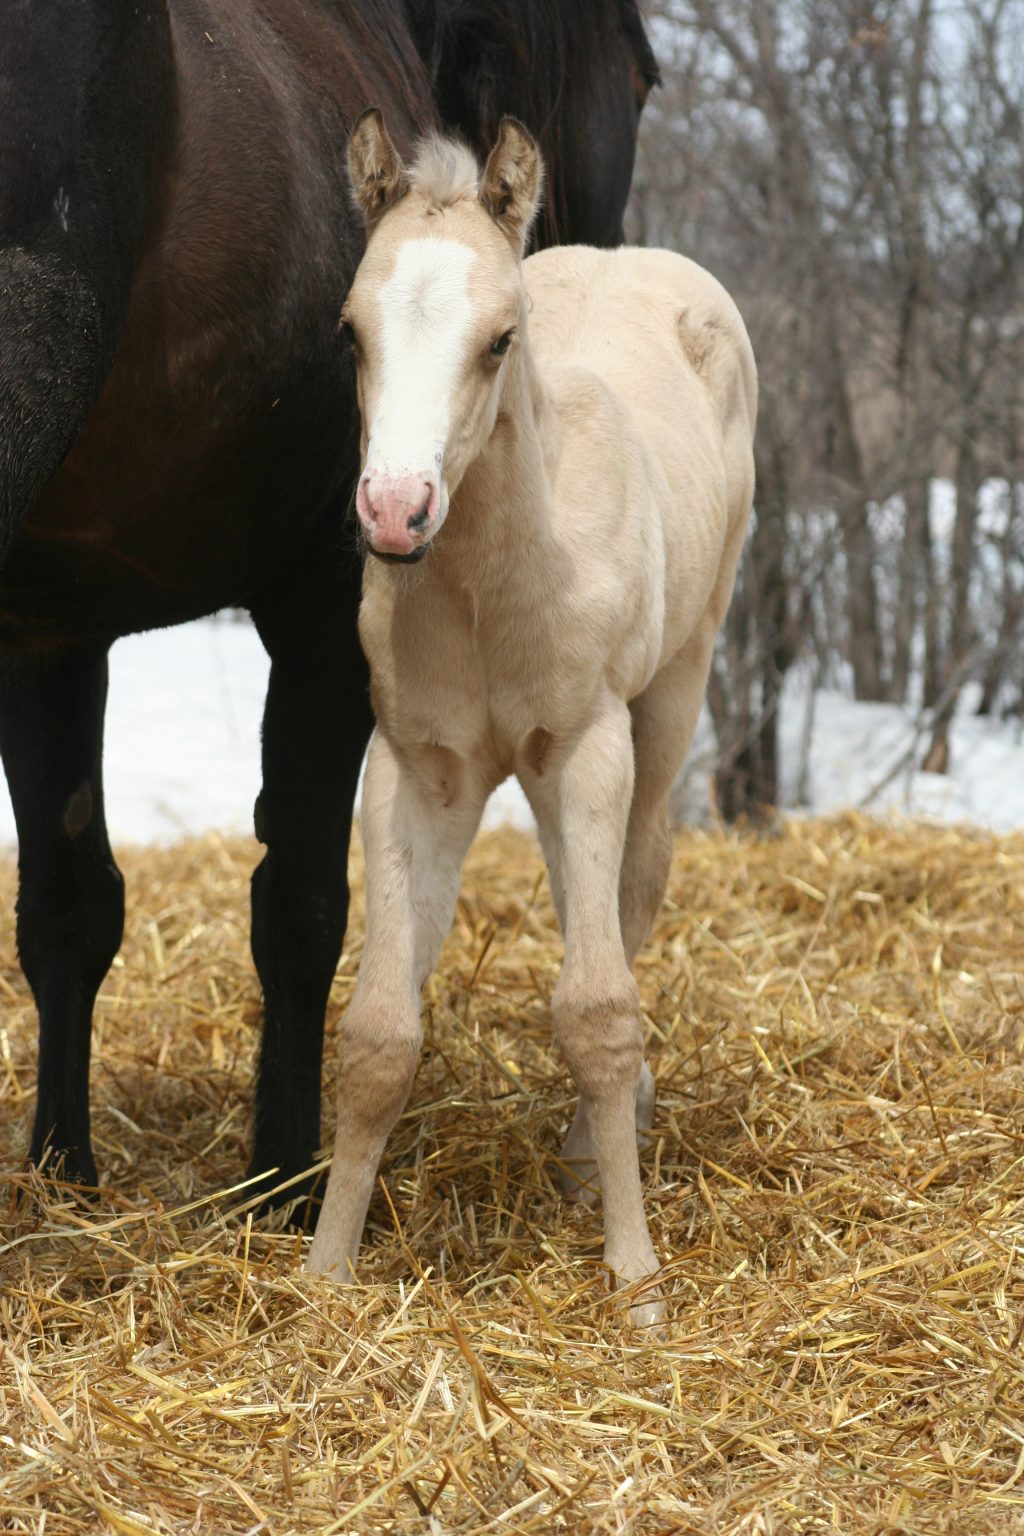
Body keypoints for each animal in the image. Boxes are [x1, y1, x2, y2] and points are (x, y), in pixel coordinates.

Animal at [0, 0, 658, 1210]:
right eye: (643, 76)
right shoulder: (325, 622)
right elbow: (300, 905)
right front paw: (288, 1183)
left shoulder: (50, 632)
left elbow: (70, 907)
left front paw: (66, 1171)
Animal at [304, 112, 757, 1322]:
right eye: (349, 334)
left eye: (501, 339)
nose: (394, 512)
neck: (488, 580)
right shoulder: (416, 768)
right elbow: (376, 1030)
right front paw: (325, 1274)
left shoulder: (588, 746)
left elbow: (598, 1011)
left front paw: (636, 1279)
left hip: (673, 688)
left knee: (636, 884)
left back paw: (596, 1146)